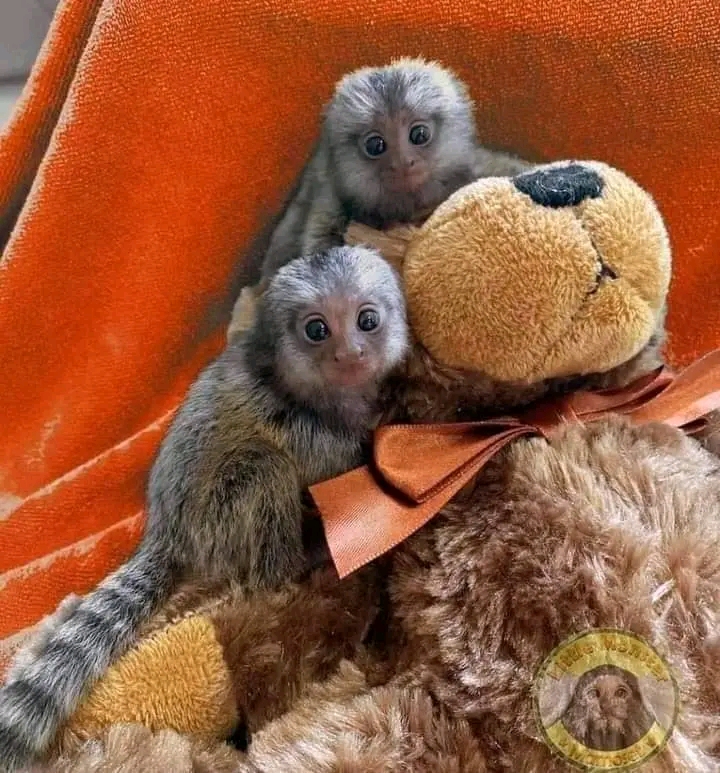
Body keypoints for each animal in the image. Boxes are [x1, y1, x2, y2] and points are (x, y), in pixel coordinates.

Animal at [0, 245, 409, 772]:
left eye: (367, 321)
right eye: (317, 330)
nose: (350, 353)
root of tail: (167, 529)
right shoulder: (310, 434)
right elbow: (333, 458)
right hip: (218, 520)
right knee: (263, 470)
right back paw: (301, 558)